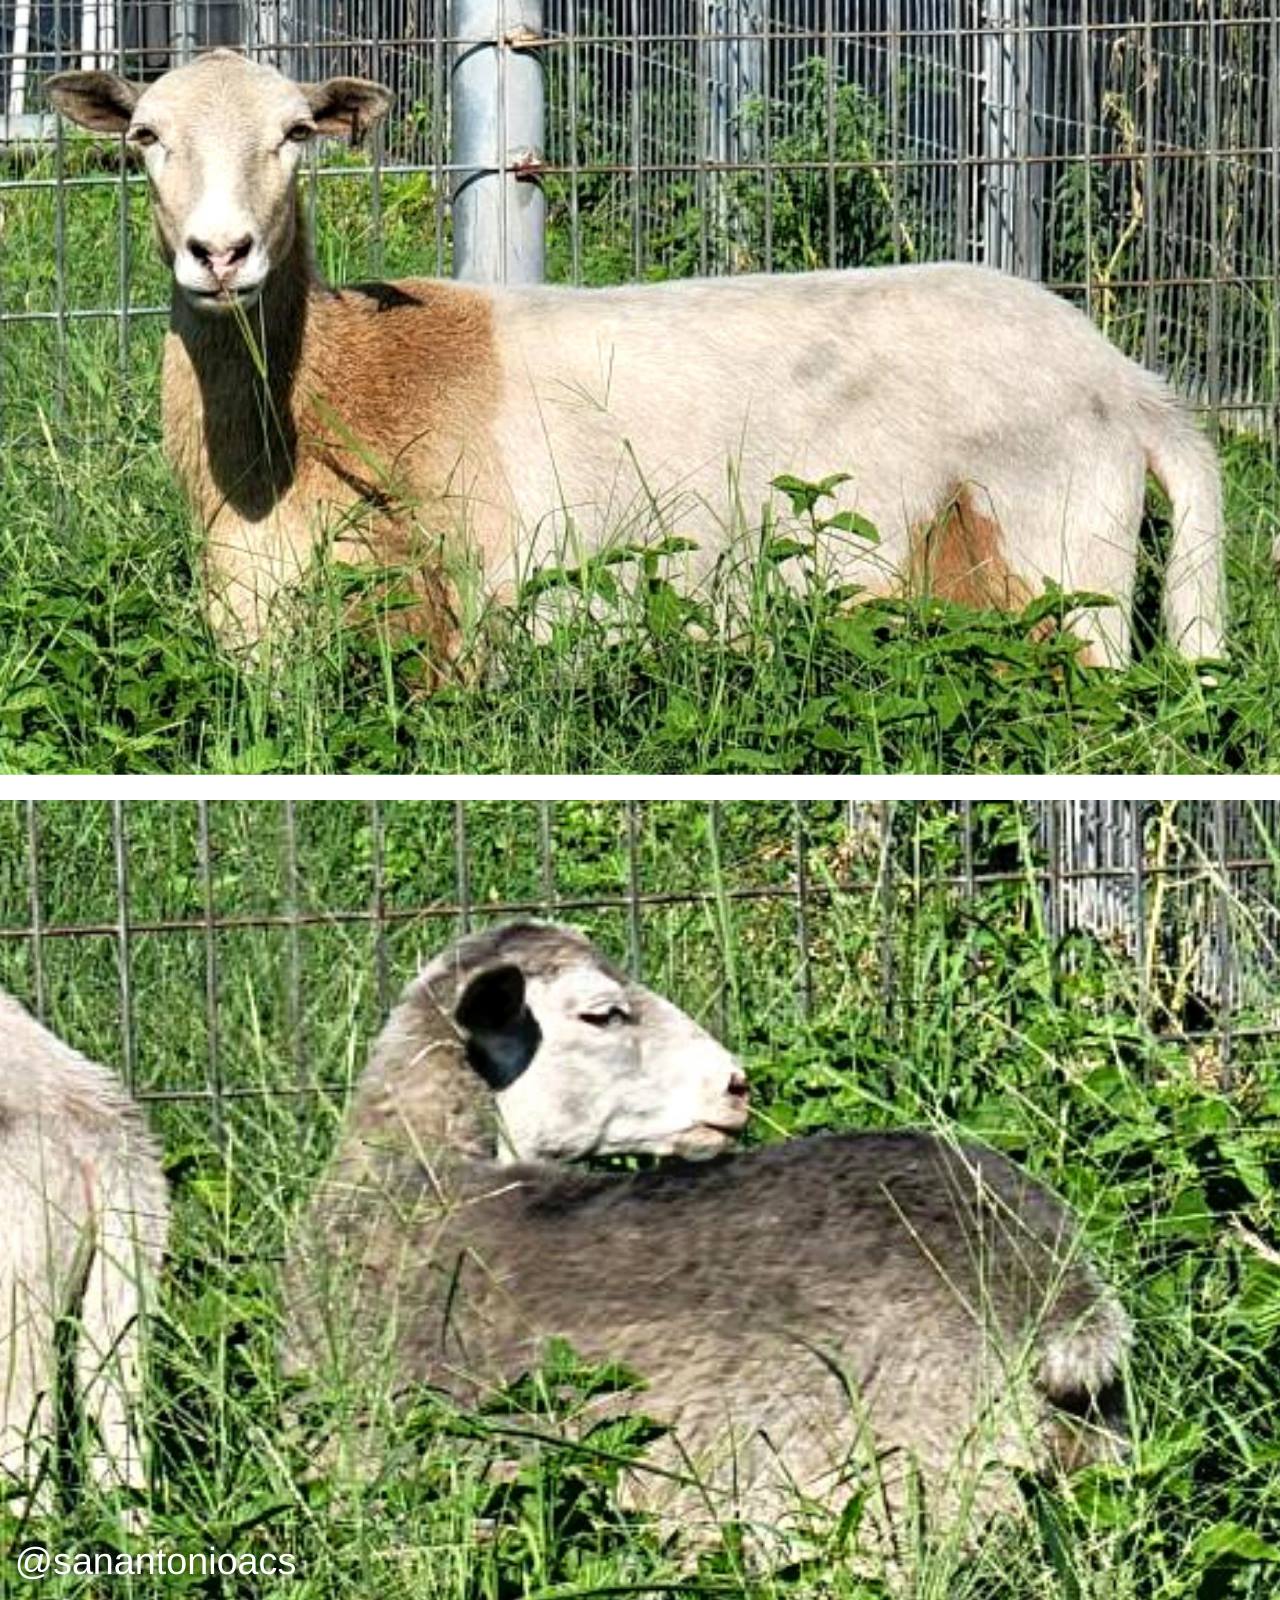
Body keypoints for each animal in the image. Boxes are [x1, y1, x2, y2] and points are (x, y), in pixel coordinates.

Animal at [47, 50, 1224, 670]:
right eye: (144, 138)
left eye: (296, 134)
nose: (221, 252)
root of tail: (1130, 388)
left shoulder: (479, 613)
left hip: (1060, 566)